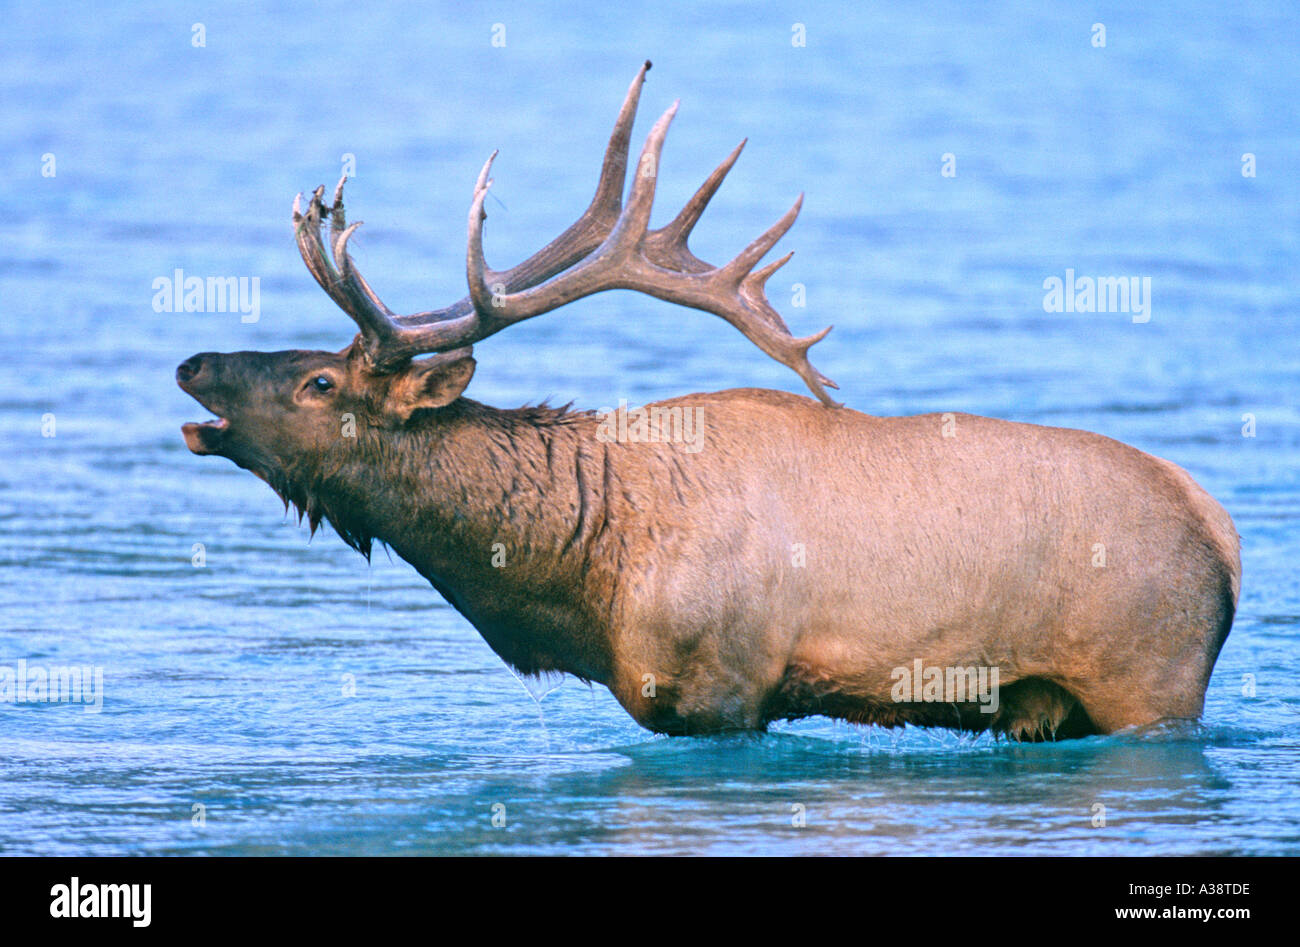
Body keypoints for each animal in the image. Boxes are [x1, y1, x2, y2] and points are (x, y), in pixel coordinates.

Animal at [177, 62, 1240, 740]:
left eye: (319, 381)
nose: (192, 364)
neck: (583, 573)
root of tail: (1221, 531)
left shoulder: (722, 686)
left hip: (1151, 680)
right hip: (1043, 705)